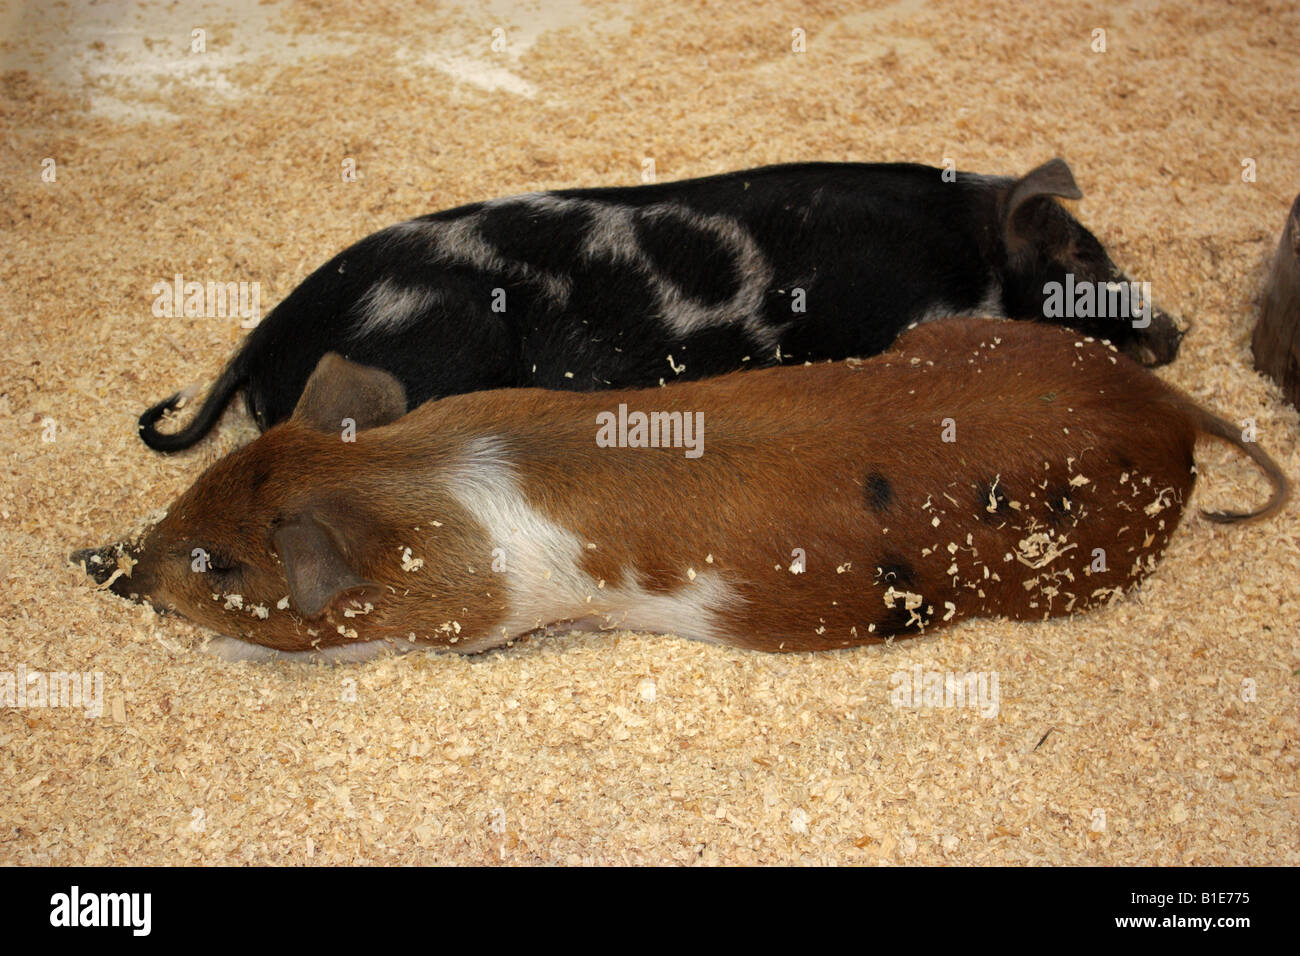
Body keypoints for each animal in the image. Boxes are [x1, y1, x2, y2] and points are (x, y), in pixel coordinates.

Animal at [80, 318, 1281, 663]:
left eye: (219, 561)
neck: (428, 481)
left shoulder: (483, 620)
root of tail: (1170, 407)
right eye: (200, 491)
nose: (103, 563)